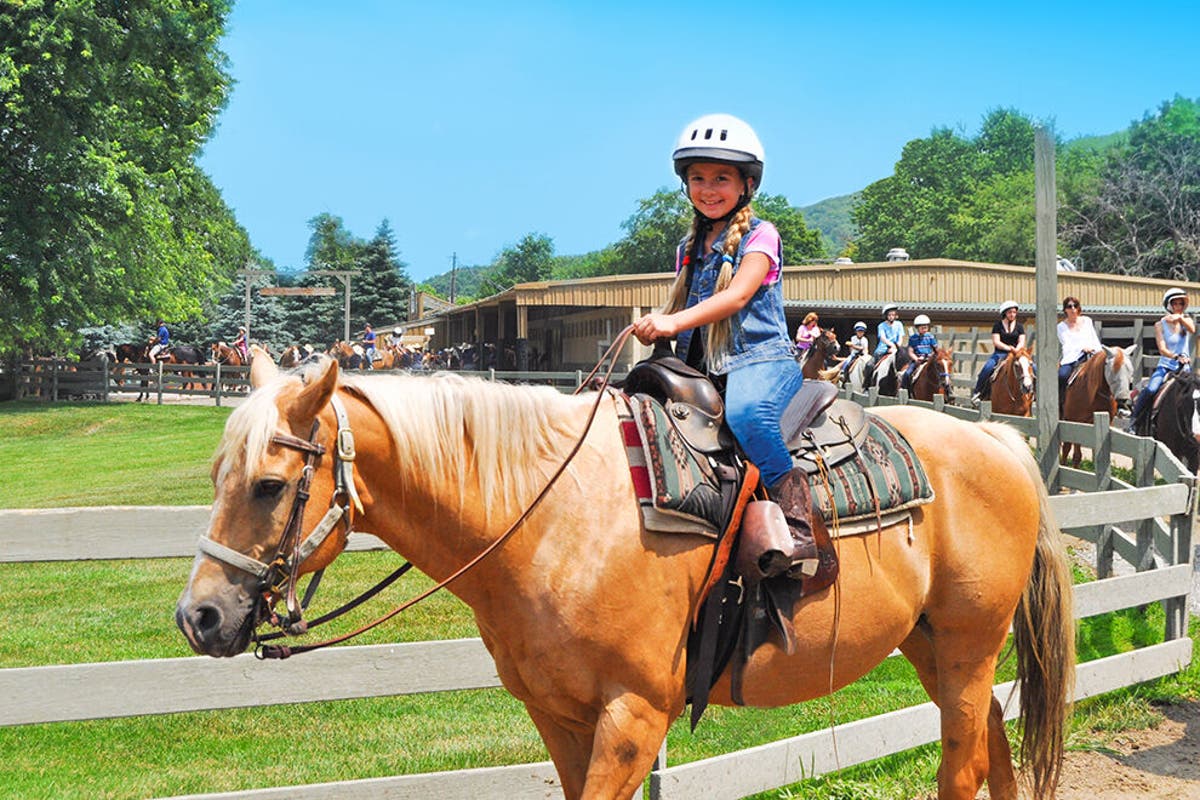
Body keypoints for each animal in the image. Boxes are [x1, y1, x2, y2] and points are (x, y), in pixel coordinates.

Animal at [176, 351, 1075, 800]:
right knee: (991, 749)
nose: (200, 617)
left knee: (963, 766)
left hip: (966, 647)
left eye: (268, 485)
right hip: (935, 650)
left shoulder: (634, 716)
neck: (548, 519)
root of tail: (998, 440)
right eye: (217, 473)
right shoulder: (560, 718)